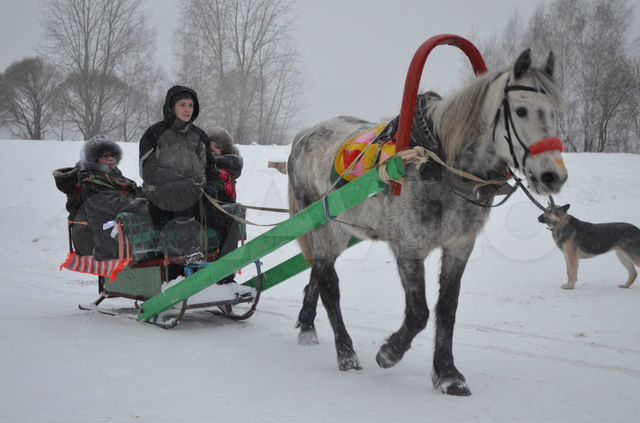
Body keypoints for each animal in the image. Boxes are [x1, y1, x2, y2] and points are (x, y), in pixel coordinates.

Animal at [287, 49, 567, 396]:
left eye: (556, 112)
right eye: (521, 110)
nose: (553, 176)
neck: (438, 162)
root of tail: (304, 135)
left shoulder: (460, 246)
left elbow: (446, 308)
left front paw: (447, 373)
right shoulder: (408, 246)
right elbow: (420, 311)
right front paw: (389, 352)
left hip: (339, 229)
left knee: (318, 271)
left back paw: (308, 325)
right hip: (321, 225)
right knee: (330, 283)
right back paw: (346, 352)